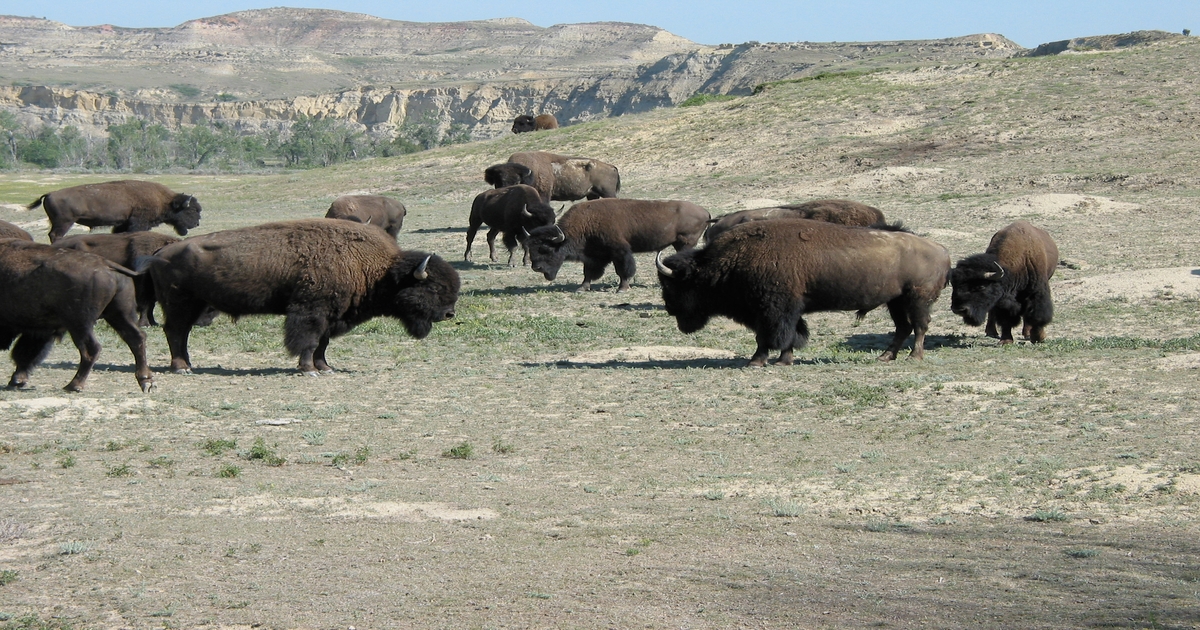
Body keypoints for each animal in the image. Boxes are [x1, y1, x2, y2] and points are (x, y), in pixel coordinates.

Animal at [0, 240, 154, 392]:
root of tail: (106, 264)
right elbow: (24, 353)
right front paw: (17, 380)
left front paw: (17, 380)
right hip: (119, 315)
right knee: (136, 338)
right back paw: (146, 381)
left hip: (80, 324)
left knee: (91, 349)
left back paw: (73, 385)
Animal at [28, 180, 202, 243]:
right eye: (192, 210)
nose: (197, 223)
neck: (166, 200)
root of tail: (50, 193)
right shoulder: (138, 223)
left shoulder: (122, 224)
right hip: (64, 223)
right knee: (55, 235)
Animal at [145, 219, 459, 376]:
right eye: (433, 289)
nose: (449, 314)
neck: (380, 269)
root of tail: (160, 253)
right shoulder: (311, 312)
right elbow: (308, 341)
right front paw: (308, 370)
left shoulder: (332, 315)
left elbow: (323, 344)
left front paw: (325, 368)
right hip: (179, 305)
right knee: (175, 331)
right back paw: (181, 368)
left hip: (193, 305)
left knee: (181, 333)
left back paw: (188, 365)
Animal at [525, 198, 710, 292]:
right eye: (531, 248)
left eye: (546, 248)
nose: (536, 267)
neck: (586, 221)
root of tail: (705, 212)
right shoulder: (593, 256)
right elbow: (588, 272)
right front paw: (582, 288)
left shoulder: (619, 251)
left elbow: (623, 270)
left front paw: (622, 288)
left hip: (685, 243)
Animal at [656, 219, 950, 367]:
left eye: (673, 285)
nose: (671, 310)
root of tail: (941, 250)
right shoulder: (789, 310)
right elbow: (792, 335)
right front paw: (784, 361)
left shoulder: (771, 311)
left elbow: (767, 337)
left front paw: (757, 361)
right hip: (895, 302)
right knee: (903, 327)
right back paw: (885, 357)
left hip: (917, 299)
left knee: (920, 326)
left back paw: (914, 357)